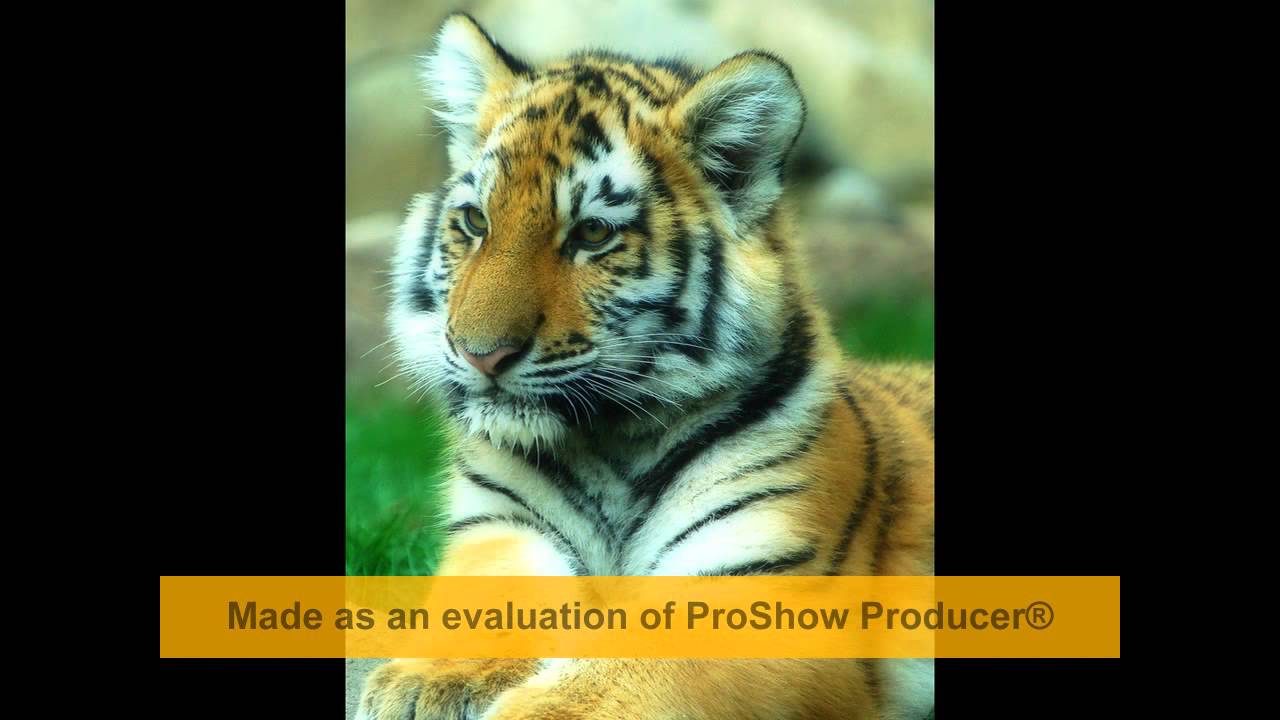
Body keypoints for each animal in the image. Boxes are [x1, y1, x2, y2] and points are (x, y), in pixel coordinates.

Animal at [358, 11, 934, 720]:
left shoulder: (759, 586)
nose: (479, 352)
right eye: (474, 222)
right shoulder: (499, 530)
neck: (608, 442)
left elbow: (628, 673)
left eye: (592, 234)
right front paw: (425, 682)